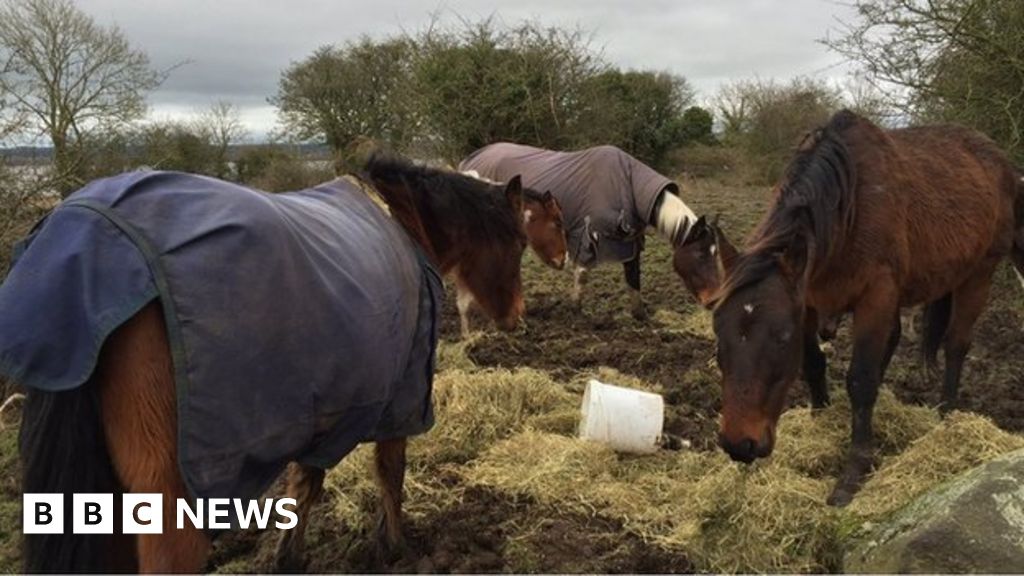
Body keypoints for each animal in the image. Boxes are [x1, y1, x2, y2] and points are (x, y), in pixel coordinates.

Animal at [5, 154, 528, 572]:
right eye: (521, 243)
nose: (516, 317)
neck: (403, 223)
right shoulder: (400, 400)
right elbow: (388, 473)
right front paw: (395, 548)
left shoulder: (326, 411)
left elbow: (304, 487)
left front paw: (289, 558)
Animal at [460, 143, 698, 320]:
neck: (627, 183)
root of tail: (469, 160)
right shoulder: (588, 238)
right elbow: (581, 277)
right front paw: (575, 310)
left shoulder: (628, 244)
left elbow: (633, 278)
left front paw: (640, 315)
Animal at [710, 109, 1024, 506]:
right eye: (718, 334)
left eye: (781, 338)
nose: (739, 444)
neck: (847, 211)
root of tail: (1000, 162)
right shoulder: (808, 299)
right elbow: (814, 364)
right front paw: (821, 420)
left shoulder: (875, 296)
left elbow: (861, 379)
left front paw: (855, 470)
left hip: (979, 273)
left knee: (956, 344)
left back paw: (946, 416)